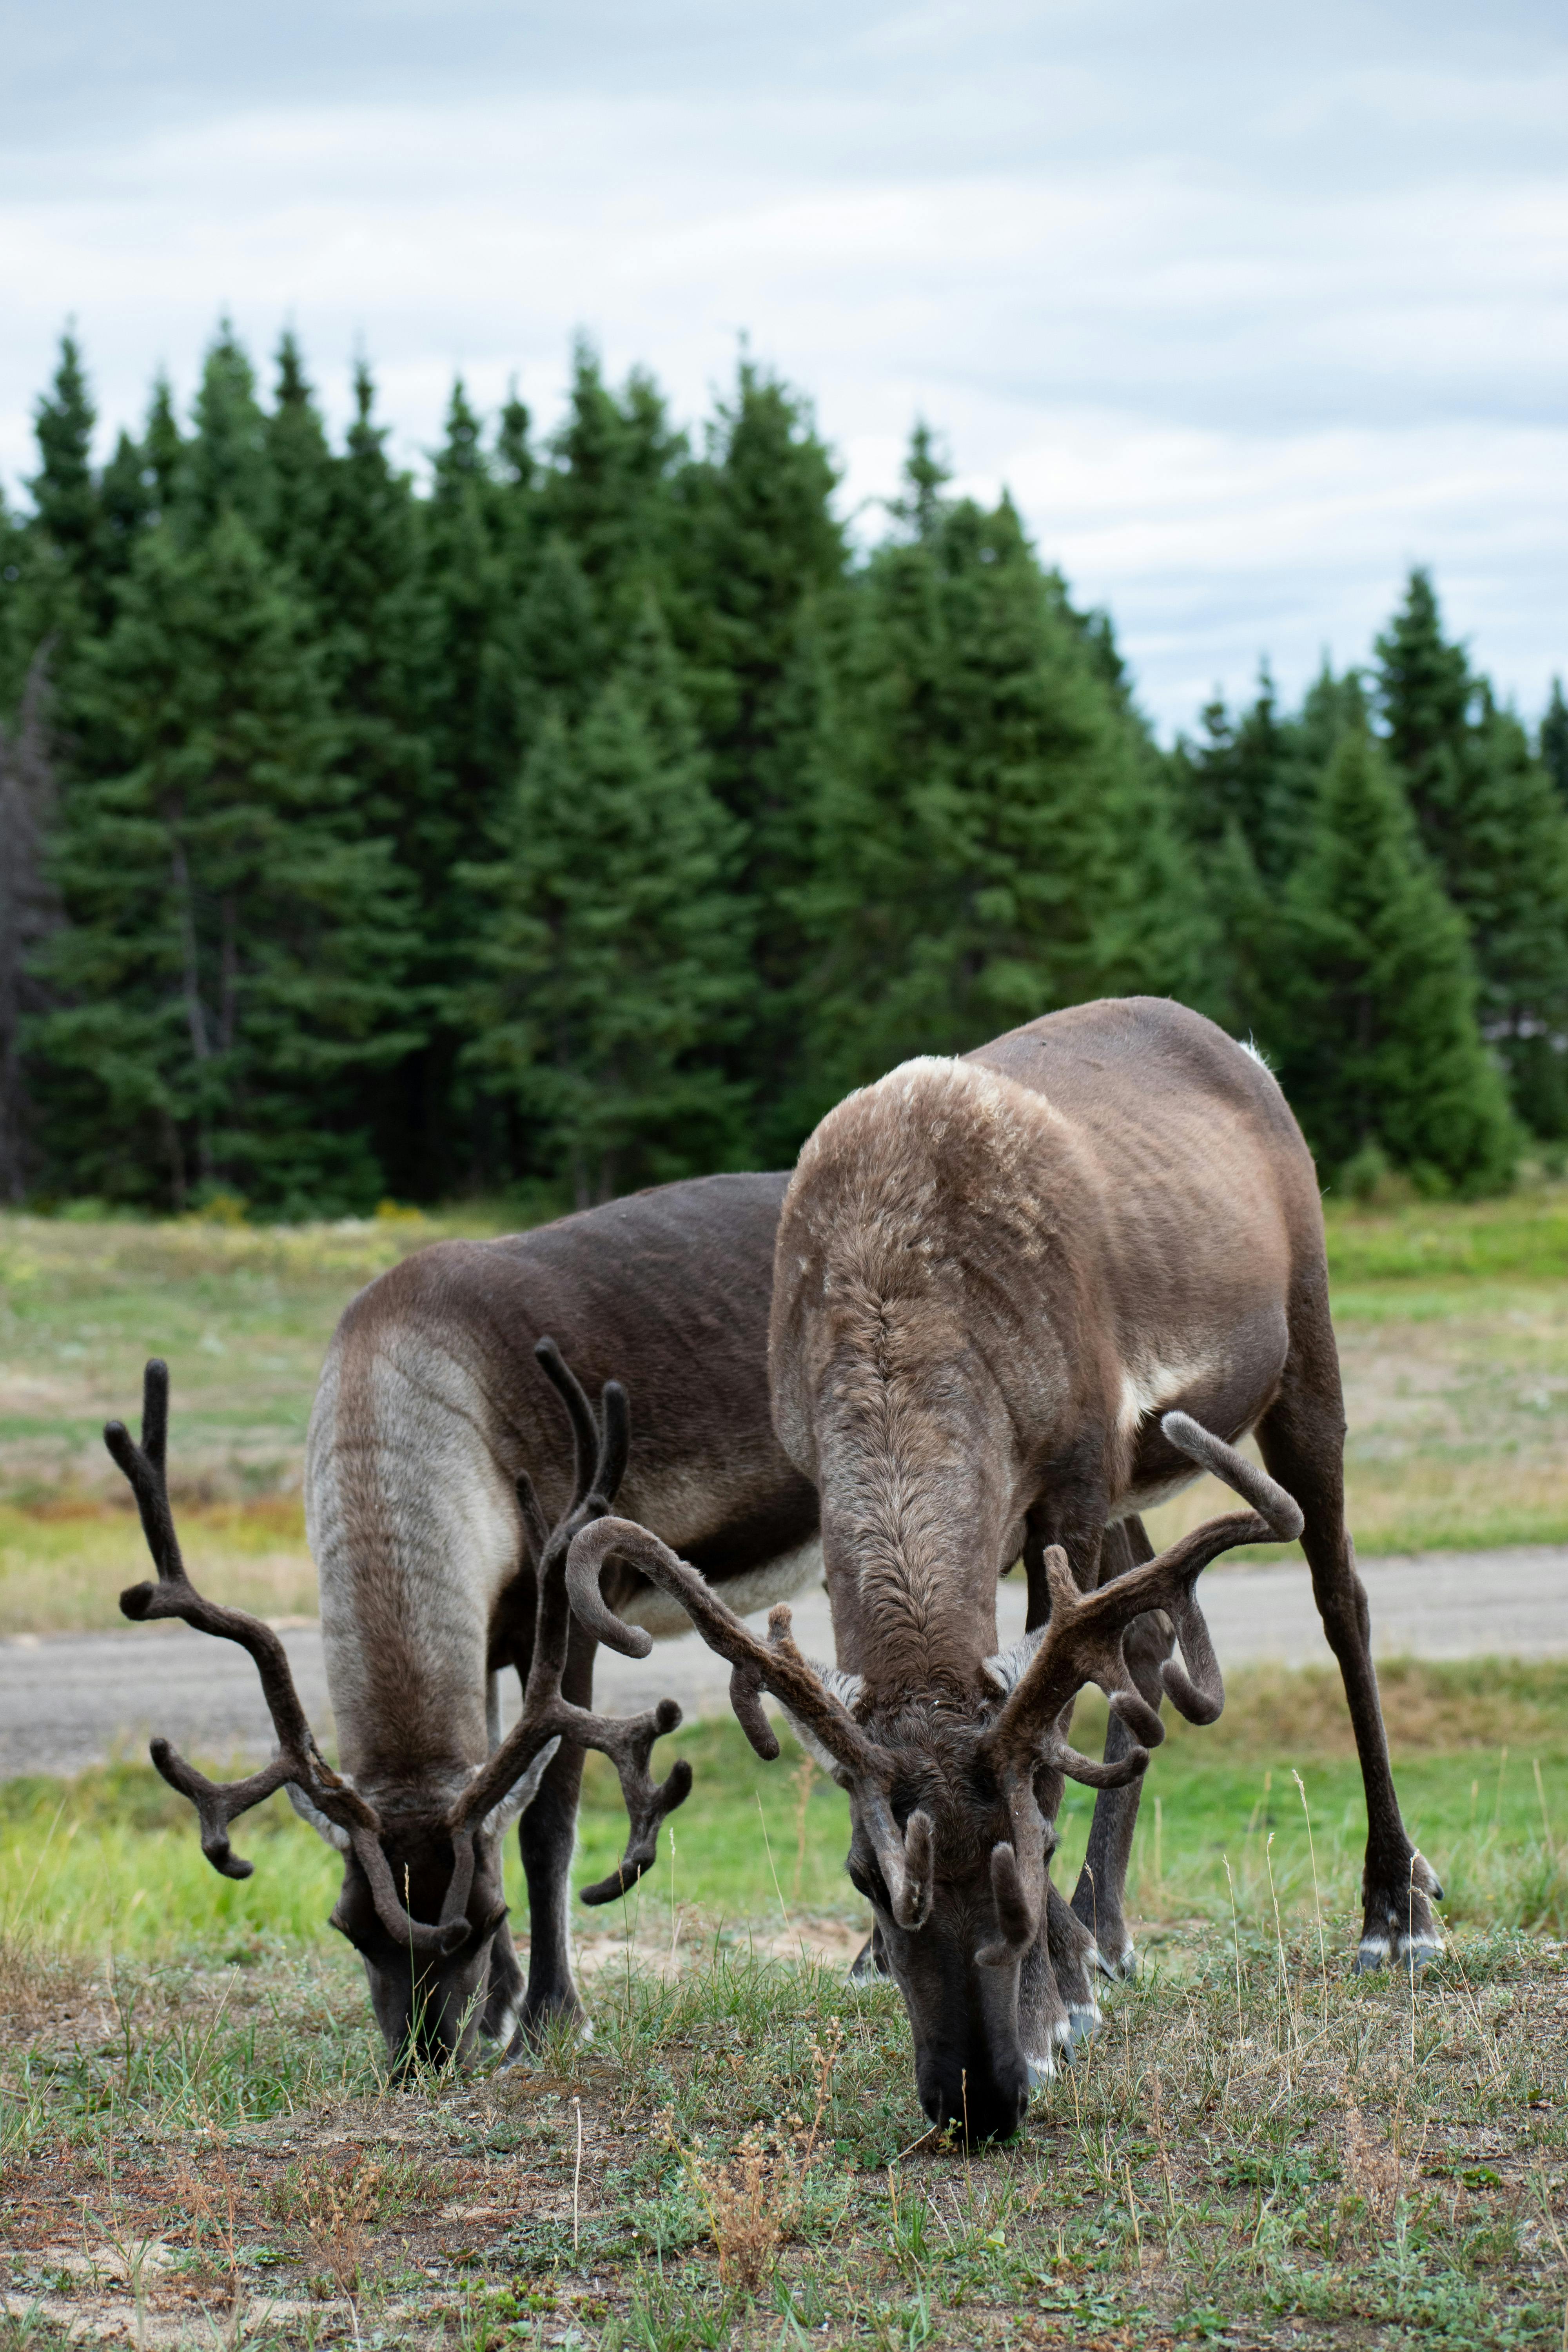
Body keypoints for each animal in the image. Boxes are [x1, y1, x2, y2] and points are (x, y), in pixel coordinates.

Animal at [566, 996, 1444, 2141]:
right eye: (862, 1875)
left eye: (1024, 1853)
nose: (973, 2096)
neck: (903, 1294)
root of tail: (1236, 1045)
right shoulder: (836, 1467)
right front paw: (1047, 1975)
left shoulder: (1074, 1462)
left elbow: (1053, 1728)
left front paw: (1058, 2007)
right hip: (1136, 1474)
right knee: (1145, 1636)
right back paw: (1111, 1931)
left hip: (1302, 1339)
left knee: (1340, 1601)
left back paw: (1394, 1908)